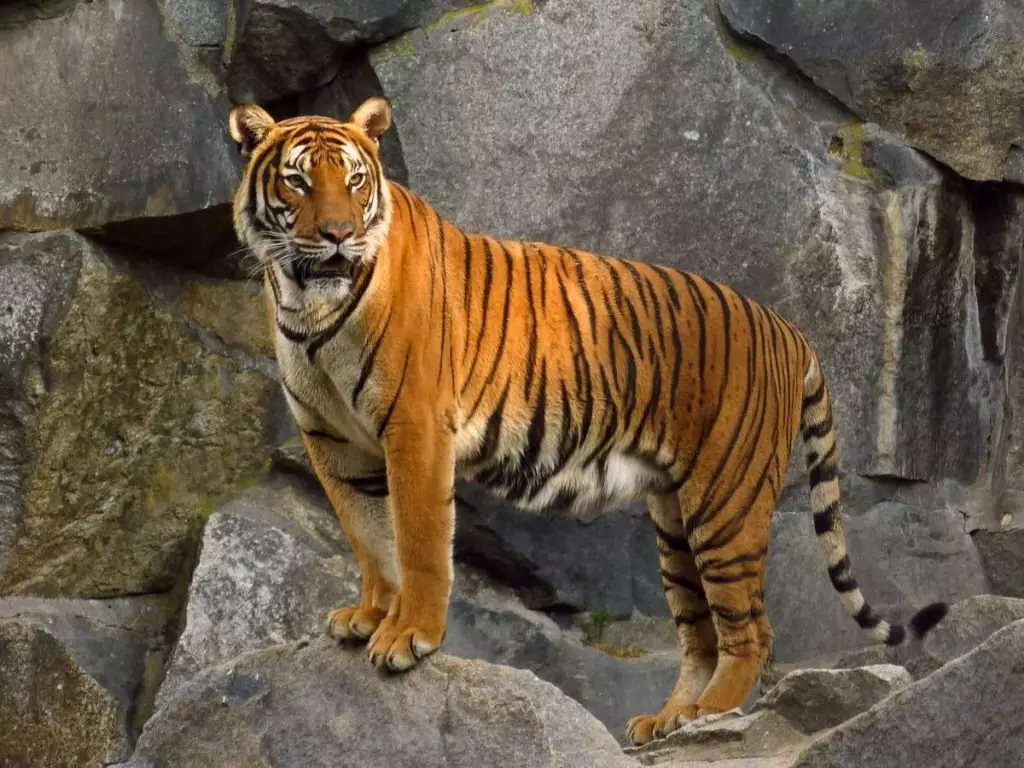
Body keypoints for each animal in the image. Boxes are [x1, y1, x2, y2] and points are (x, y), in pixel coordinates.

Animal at [228, 94, 946, 745]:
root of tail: (790, 330)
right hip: (676, 519)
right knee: (702, 634)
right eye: (298, 180)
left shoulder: (416, 428)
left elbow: (419, 542)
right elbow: (369, 537)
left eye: (353, 181)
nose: (338, 234)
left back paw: (706, 715)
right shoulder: (333, 440)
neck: (308, 300)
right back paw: (668, 718)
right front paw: (370, 615)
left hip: (726, 501)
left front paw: (409, 637)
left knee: (750, 629)